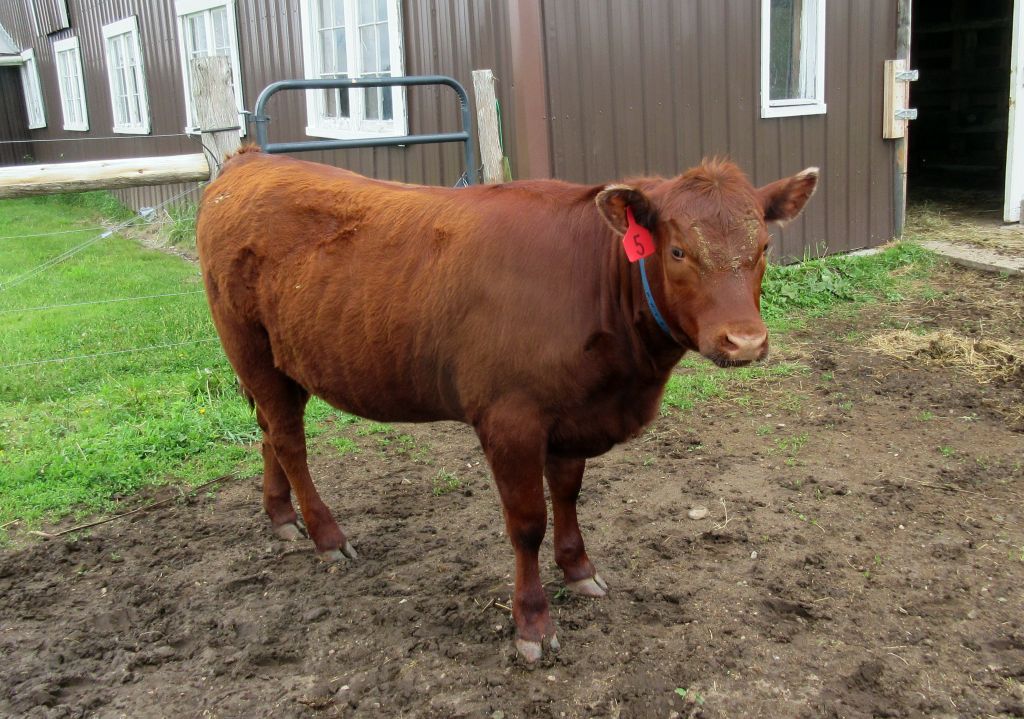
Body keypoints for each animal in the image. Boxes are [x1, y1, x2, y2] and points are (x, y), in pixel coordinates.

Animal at [195, 147, 818, 662]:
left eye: (763, 247)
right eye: (679, 251)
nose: (745, 342)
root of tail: (252, 161)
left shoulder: (573, 412)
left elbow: (567, 494)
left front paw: (580, 570)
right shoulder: (510, 419)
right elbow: (527, 524)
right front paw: (533, 623)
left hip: (284, 360)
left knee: (268, 430)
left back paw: (281, 518)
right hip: (249, 345)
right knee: (289, 439)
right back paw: (326, 536)